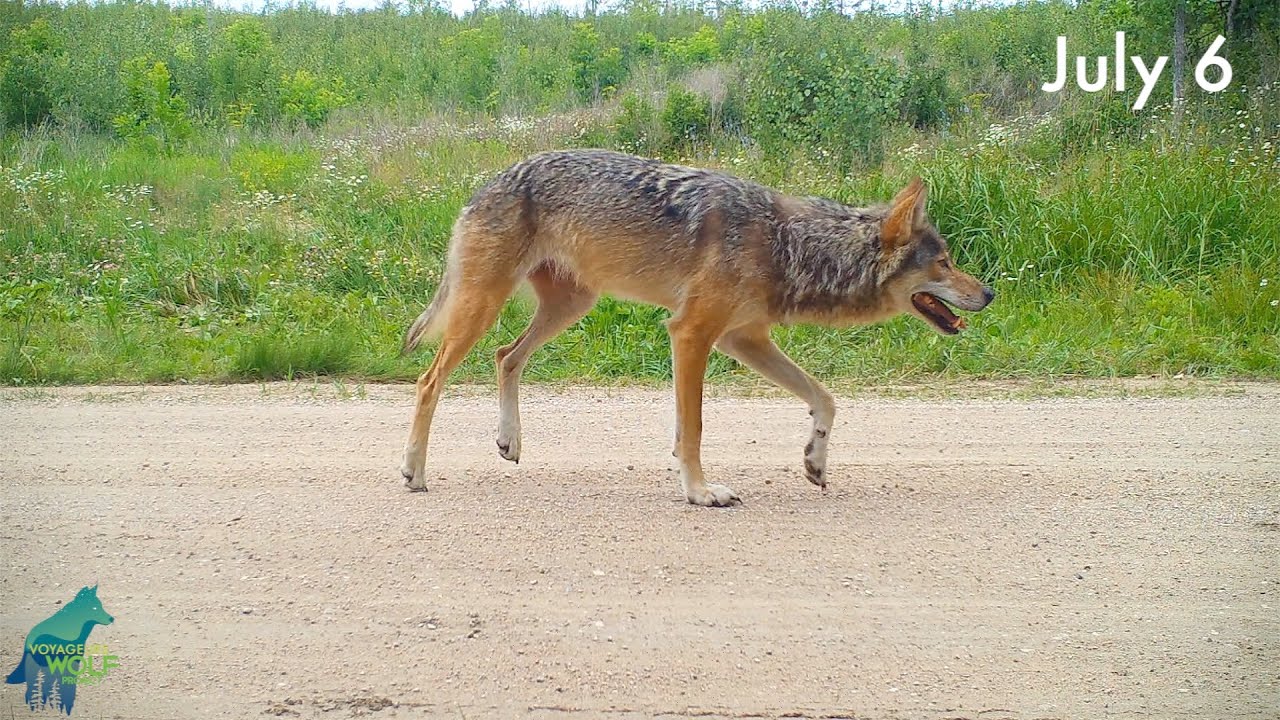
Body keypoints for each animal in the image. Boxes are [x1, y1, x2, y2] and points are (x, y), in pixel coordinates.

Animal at [400, 149, 994, 506]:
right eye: (943, 264)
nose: (989, 294)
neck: (786, 243)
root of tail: (486, 183)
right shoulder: (691, 334)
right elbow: (696, 429)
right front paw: (702, 492)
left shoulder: (744, 339)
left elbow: (824, 398)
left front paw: (815, 462)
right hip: (485, 309)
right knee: (429, 381)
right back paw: (414, 473)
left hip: (568, 308)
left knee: (506, 355)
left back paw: (509, 441)